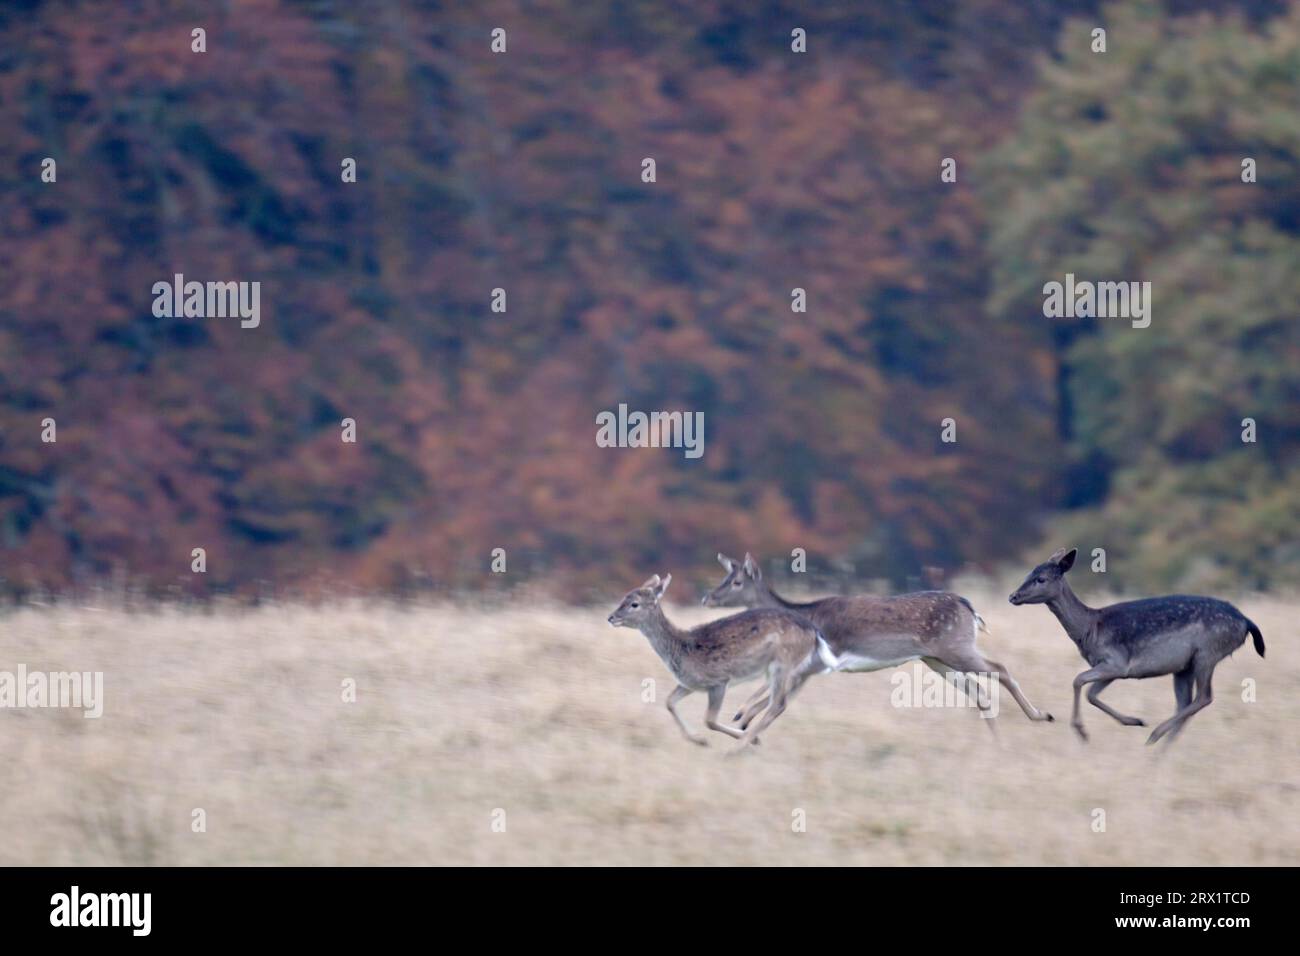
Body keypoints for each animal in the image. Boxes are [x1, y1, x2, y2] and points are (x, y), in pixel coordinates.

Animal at [607, 573, 825, 750]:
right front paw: (699, 740)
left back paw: (739, 746)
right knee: (783, 698)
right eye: (624, 597)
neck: (681, 649)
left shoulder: (718, 681)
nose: (611, 617)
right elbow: (669, 701)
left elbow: (709, 720)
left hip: (783, 661)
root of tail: (813, 632)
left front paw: (748, 739)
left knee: (778, 703)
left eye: (634, 604)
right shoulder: (691, 683)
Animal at [703, 552, 1054, 730]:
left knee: (1000, 669)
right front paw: (743, 716)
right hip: (937, 658)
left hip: (956, 647)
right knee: (978, 689)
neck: (805, 613)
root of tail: (969, 606)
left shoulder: (821, 655)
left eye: (736, 582)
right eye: (725, 576)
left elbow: (771, 688)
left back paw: (1041, 715)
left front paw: (742, 714)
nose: (707, 597)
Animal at [1009, 548, 1265, 745]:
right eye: (1029, 572)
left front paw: (1082, 732)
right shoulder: (1111, 668)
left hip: (1208, 652)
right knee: (1186, 703)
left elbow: (1078, 680)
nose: (1013, 596)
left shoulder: (1117, 662)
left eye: (1041, 579)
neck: (1090, 629)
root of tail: (1246, 622)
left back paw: (1155, 735)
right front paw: (1134, 720)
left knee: (1204, 697)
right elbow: (1091, 694)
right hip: (1184, 667)